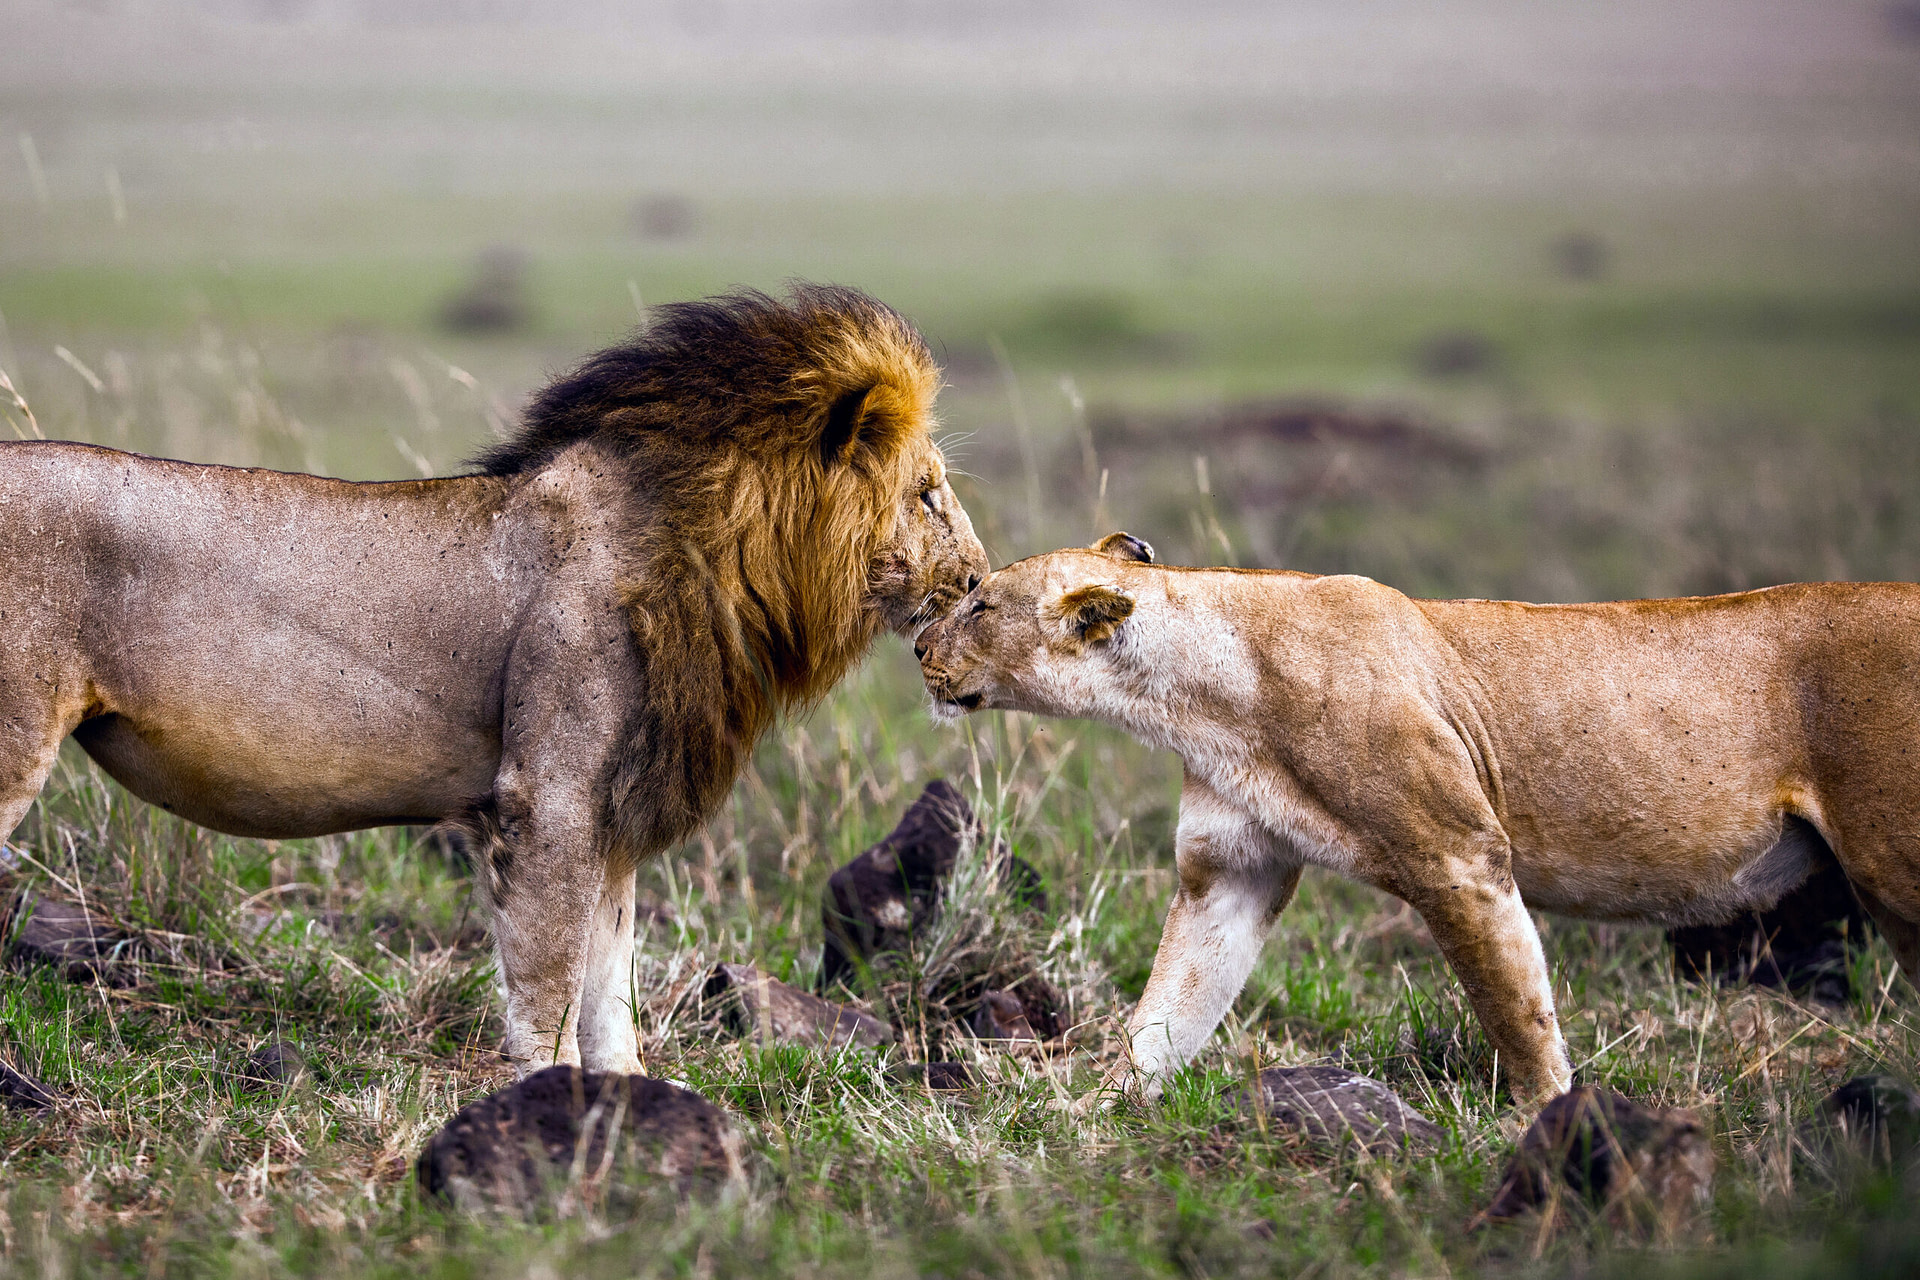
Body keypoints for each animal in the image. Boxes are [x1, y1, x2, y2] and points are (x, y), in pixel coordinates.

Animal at [0, 284, 988, 1076]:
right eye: (928, 491)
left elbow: (610, 986)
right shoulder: (548, 801)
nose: (979, 578)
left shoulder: (610, 813)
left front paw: (626, 1099)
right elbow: (549, 989)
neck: (714, 554)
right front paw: (550, 1106)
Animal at [915, 532, 1920, 1105]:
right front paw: (1092, 1112)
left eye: (978, 602)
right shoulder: (1228, 871)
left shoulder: (1460, 857)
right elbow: (1170, 1007)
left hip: (1896, 866)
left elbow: (1515, 1006)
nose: (919, 645)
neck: (1199, 693)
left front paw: (1543, 1122)